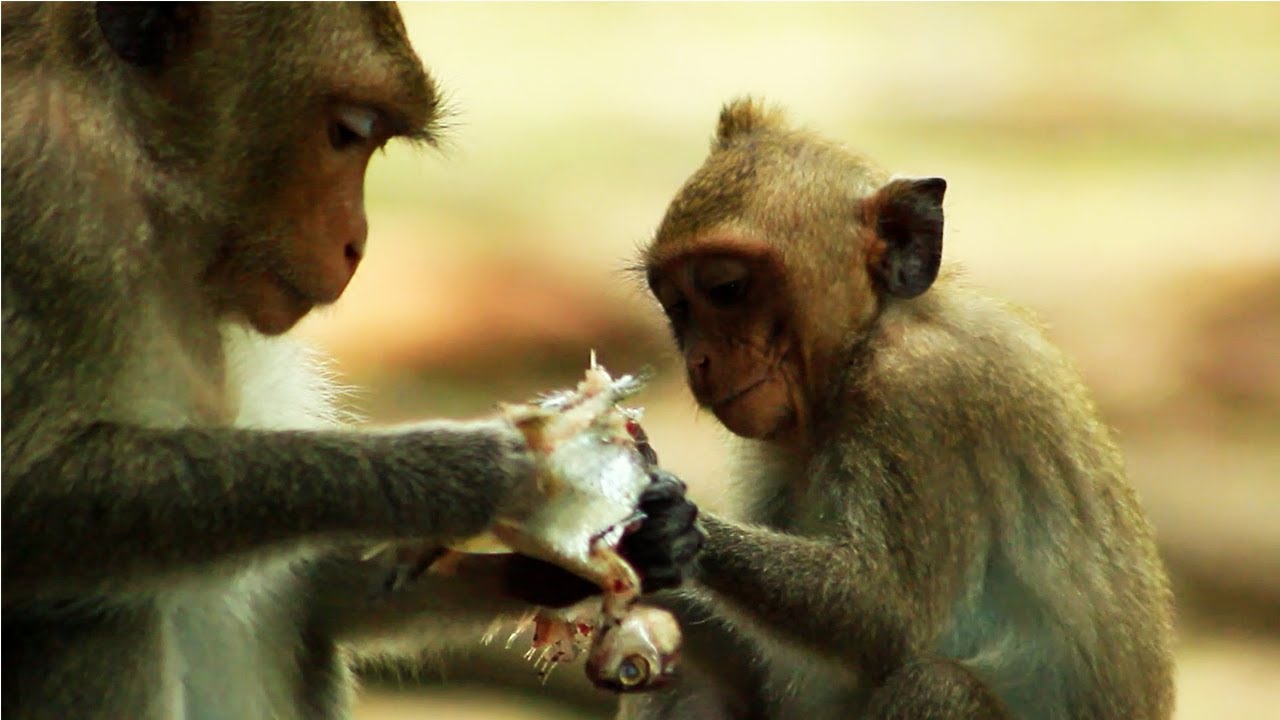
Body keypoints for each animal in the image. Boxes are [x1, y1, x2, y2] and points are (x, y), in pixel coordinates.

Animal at [0, 4, 702, 719]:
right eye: (347, 133)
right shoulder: (40, 193)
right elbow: (26, 498)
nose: (357, 244)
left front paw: (632, 543)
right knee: (100, 610)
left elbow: (318, 583)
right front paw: (460, 472)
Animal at [620, 98, 1176, 720]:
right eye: (676, 304)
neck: (867, 339)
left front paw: (664, 521)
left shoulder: (920, 397)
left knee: (936, 683)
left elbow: (887, 612)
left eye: (725, 288)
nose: (699, 361)